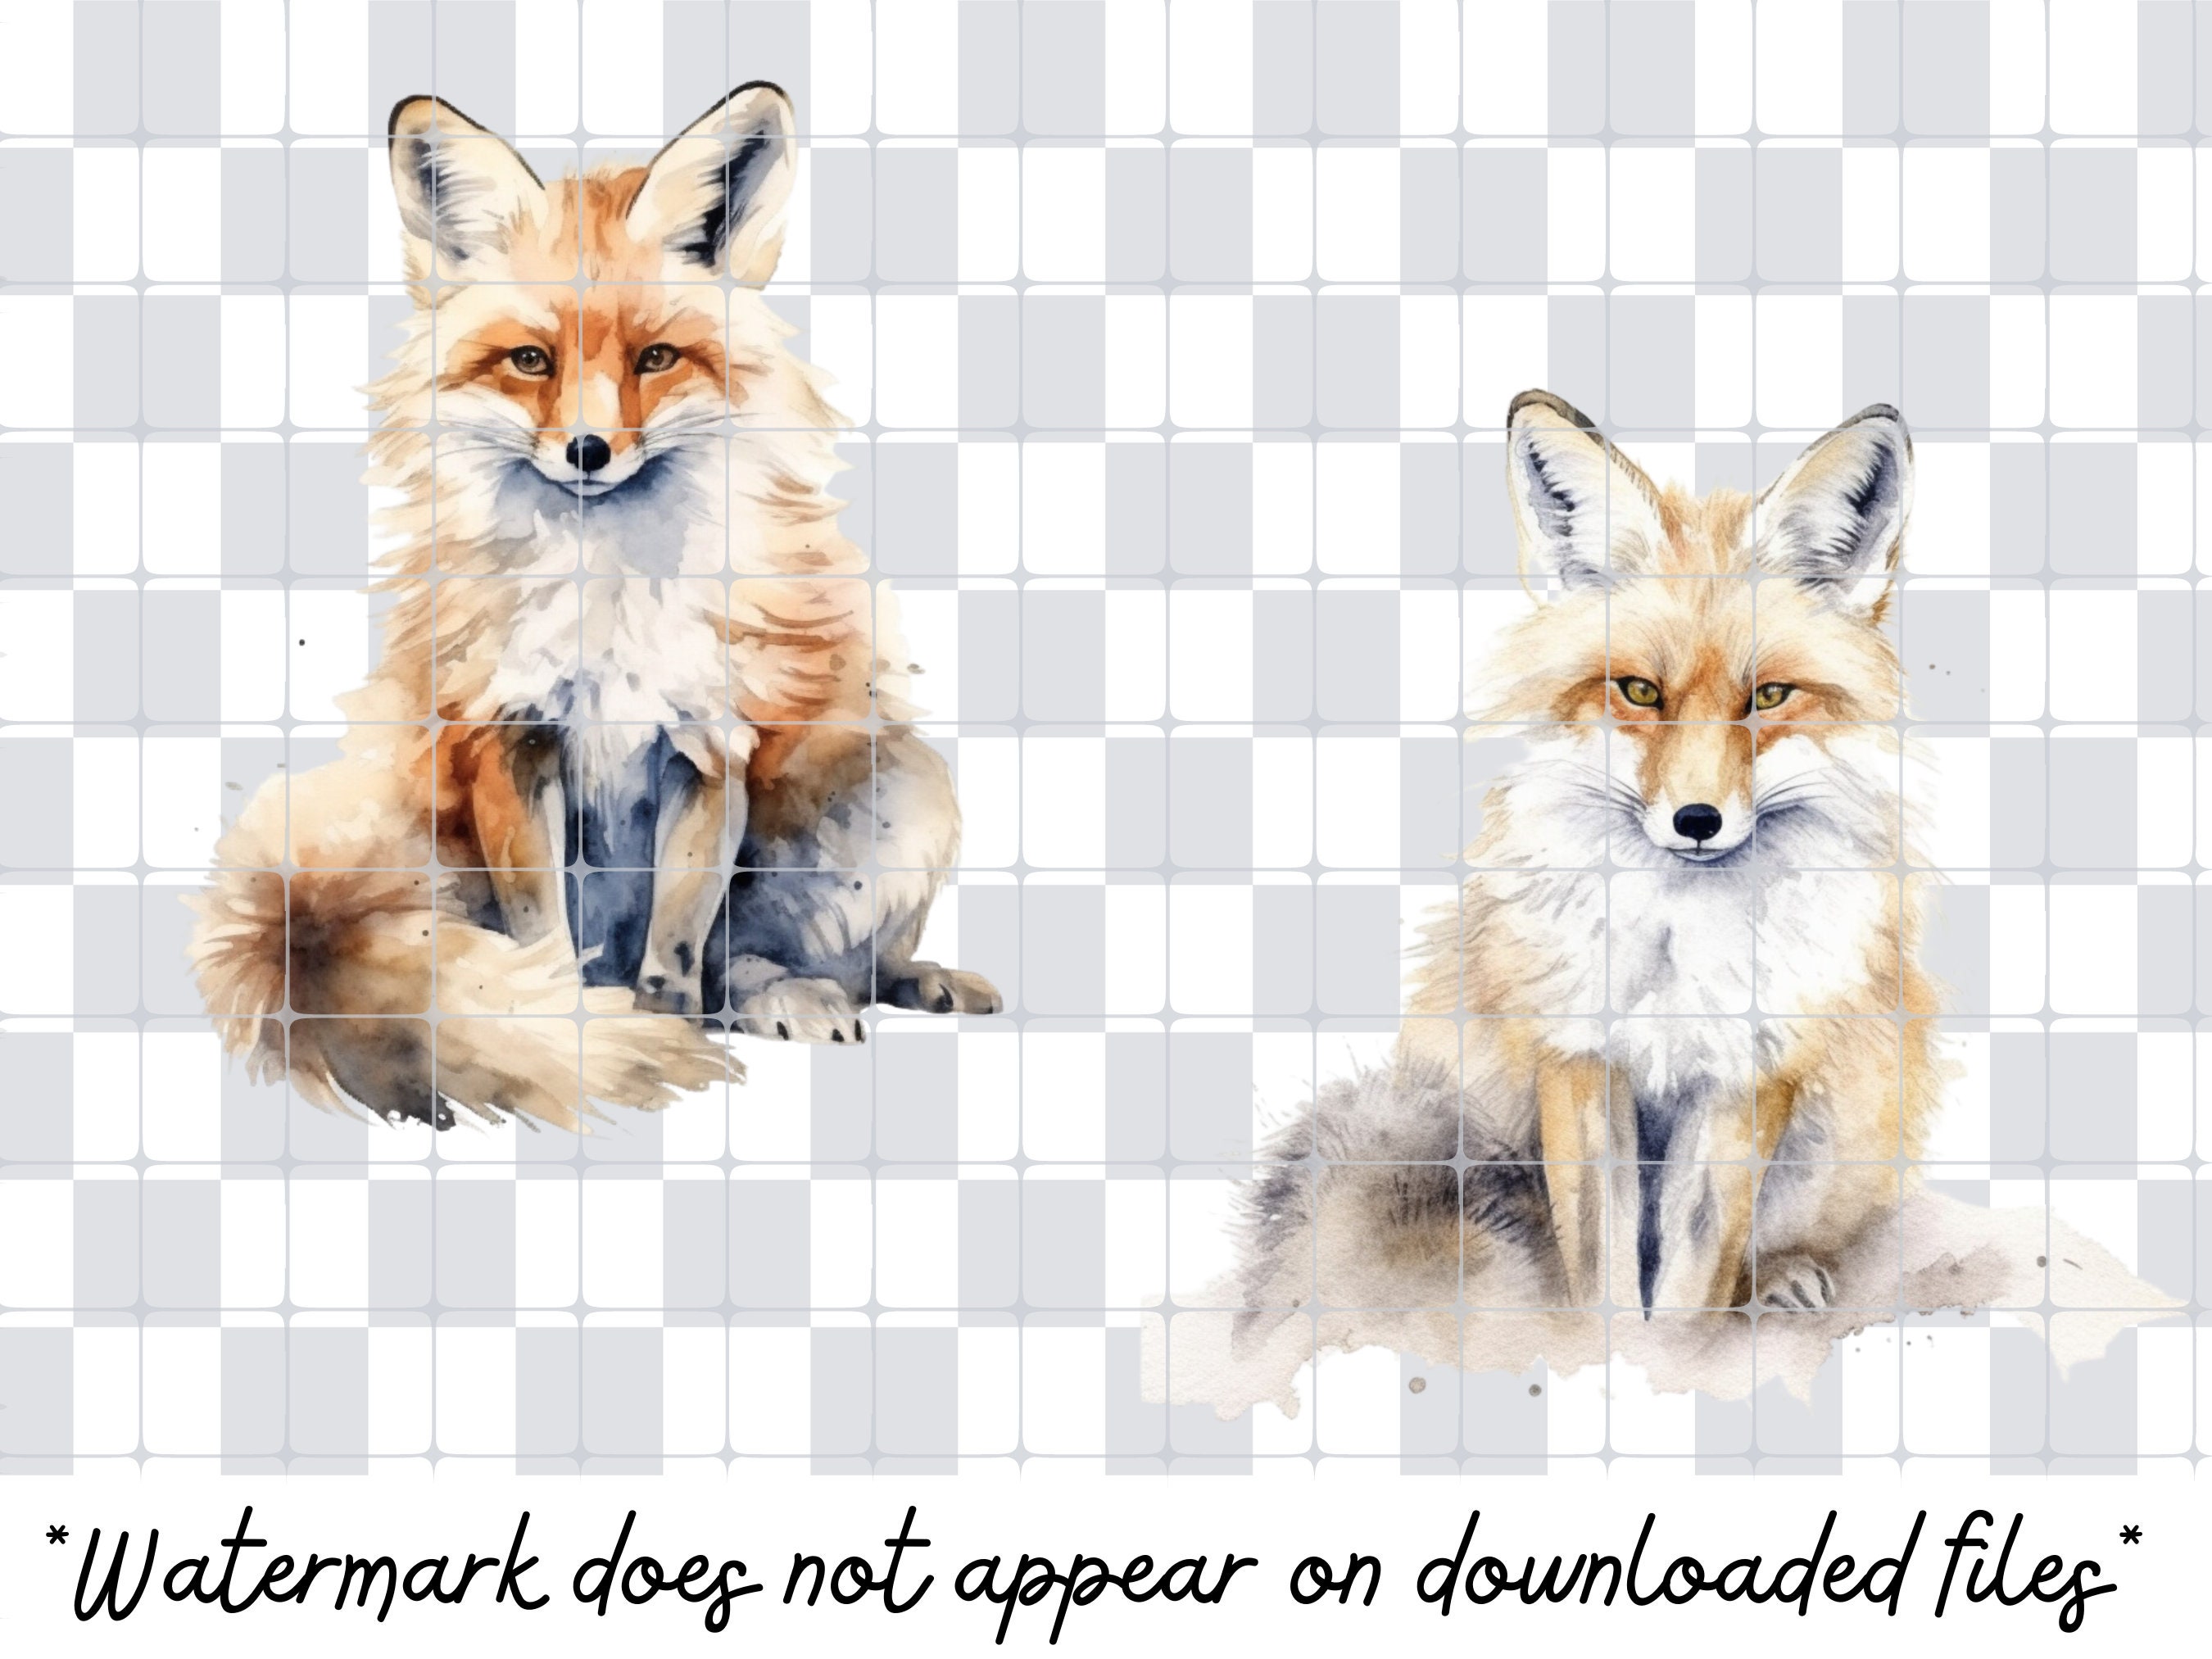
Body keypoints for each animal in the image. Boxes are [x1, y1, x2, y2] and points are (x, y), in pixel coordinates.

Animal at [186, 83, 1000, 1132]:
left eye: (657, 357)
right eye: (531, 360)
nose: (587, 451)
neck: (603, 600)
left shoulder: (707, 750)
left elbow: (679, 950)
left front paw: (661, 1030)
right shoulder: (509, 743)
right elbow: (545, 938)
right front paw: (576, 1032)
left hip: (902, 795)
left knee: (800, 962)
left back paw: (851, 987)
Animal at [1237, 390, 1946, 1331]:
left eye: (1768, 697)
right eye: (1640, 691)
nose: (1696, 820)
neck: (1677, 950)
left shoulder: (1746, 1069)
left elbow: (1694, 1266)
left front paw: (1675, 1350)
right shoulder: (1576, 1056)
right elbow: (1601, 1258)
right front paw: (1604, 1348)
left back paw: (1782, 1274)